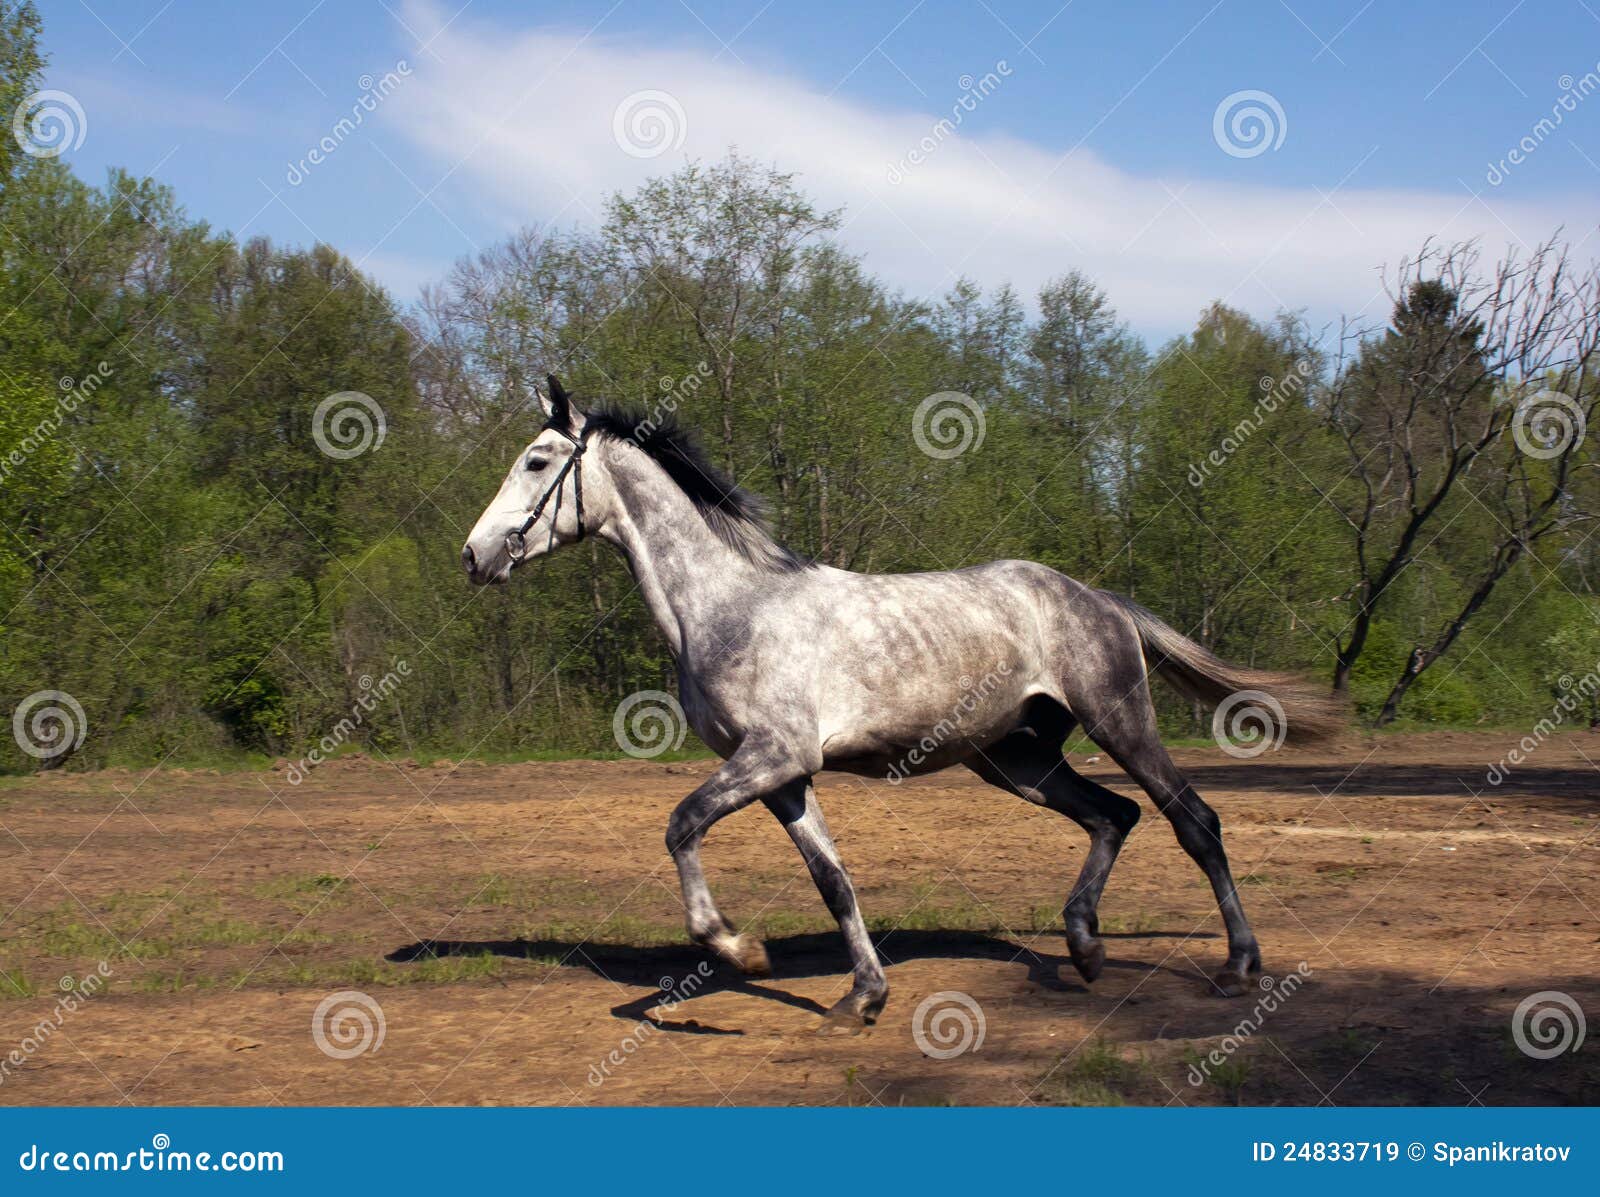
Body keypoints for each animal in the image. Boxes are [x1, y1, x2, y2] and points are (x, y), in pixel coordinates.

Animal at [462, 375, 1341, 1030]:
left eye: (537, 461)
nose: (473, 556)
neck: (728, 604)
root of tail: (1097, 597)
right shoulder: (783, 777)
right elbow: (833, 880)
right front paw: (862, 998)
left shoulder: (772, 756)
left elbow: (681, 825)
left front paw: (741, 950)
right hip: (1016, 758)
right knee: (1112, 816)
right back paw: (1084, 950)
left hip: (1117, 721)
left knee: (1193, 819)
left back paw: (1238, 964)